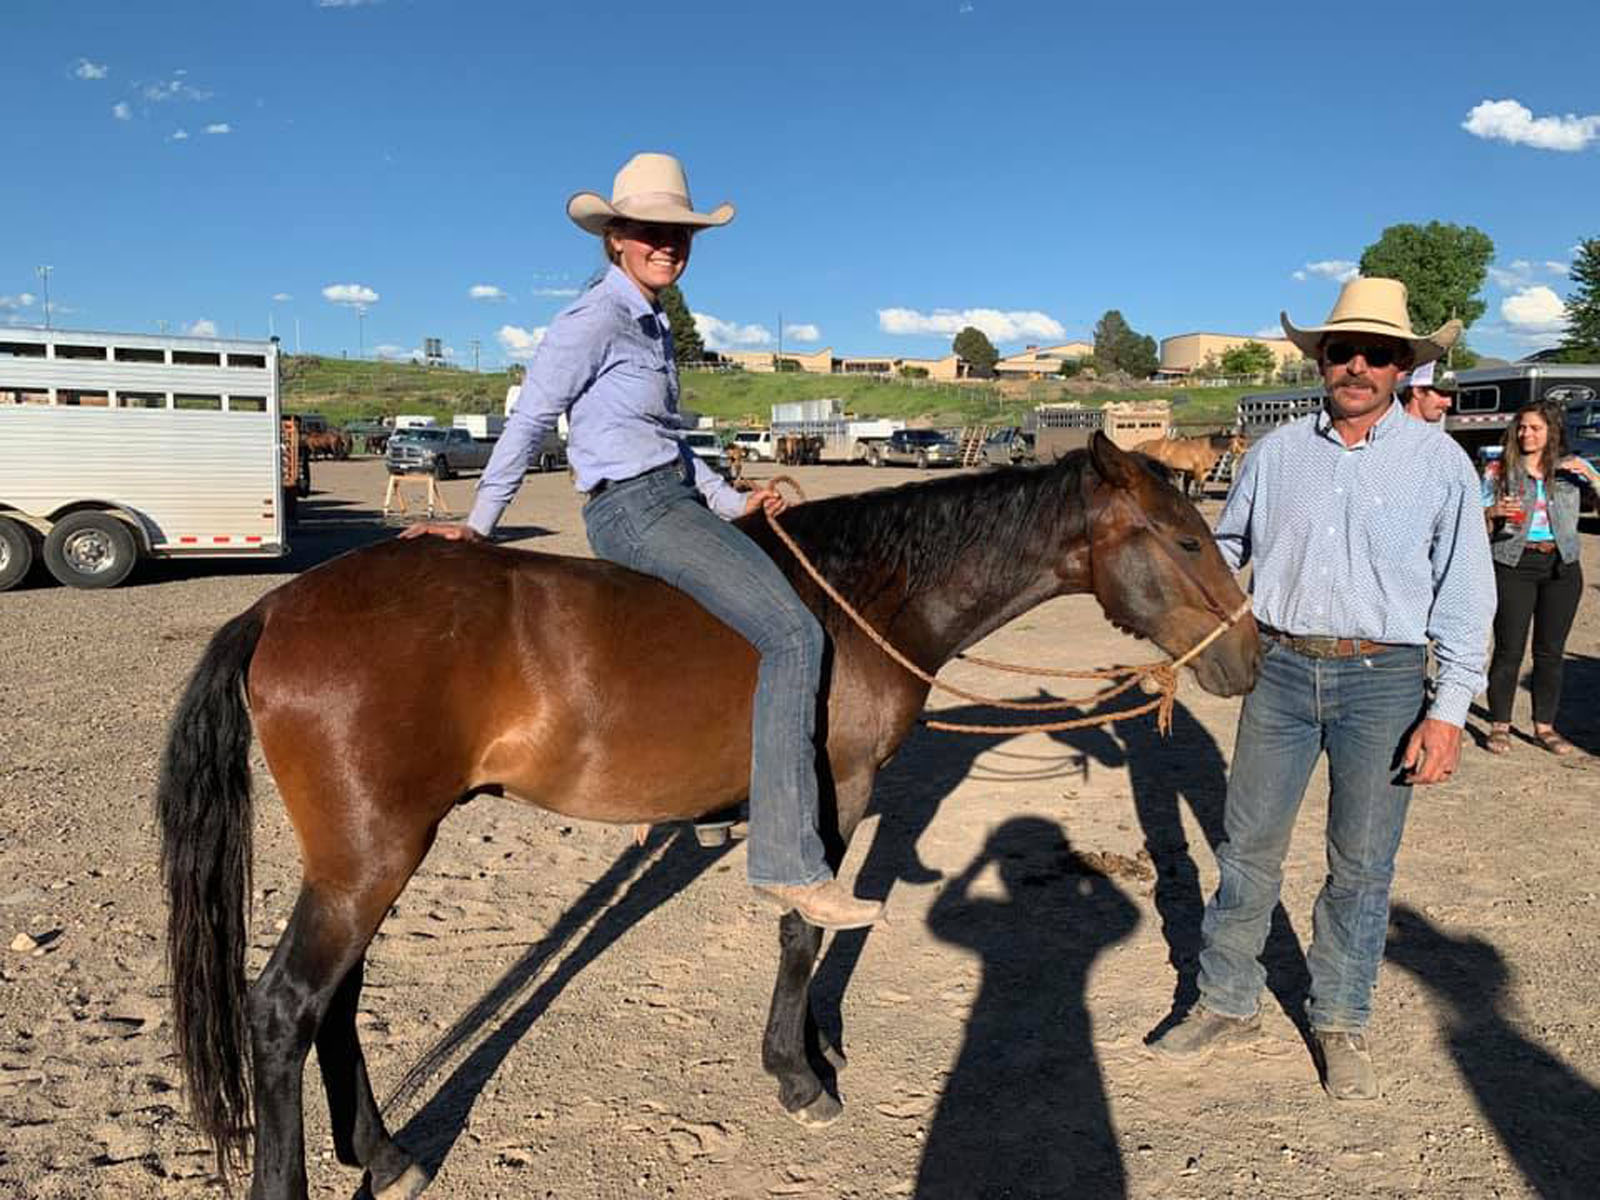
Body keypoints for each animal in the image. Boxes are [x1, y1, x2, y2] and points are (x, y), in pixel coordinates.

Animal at [156, 432, 1259, 1200]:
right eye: (1186, 536)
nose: (1250, 658)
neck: (866, 597)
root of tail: (280, 608)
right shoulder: (832, 793)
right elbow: (803, 927)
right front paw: (798, 1073)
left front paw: (816, 1048)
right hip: (370, 859)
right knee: (285, 1008)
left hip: (363, 861)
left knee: (334, 1004)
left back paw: (383, 1154)